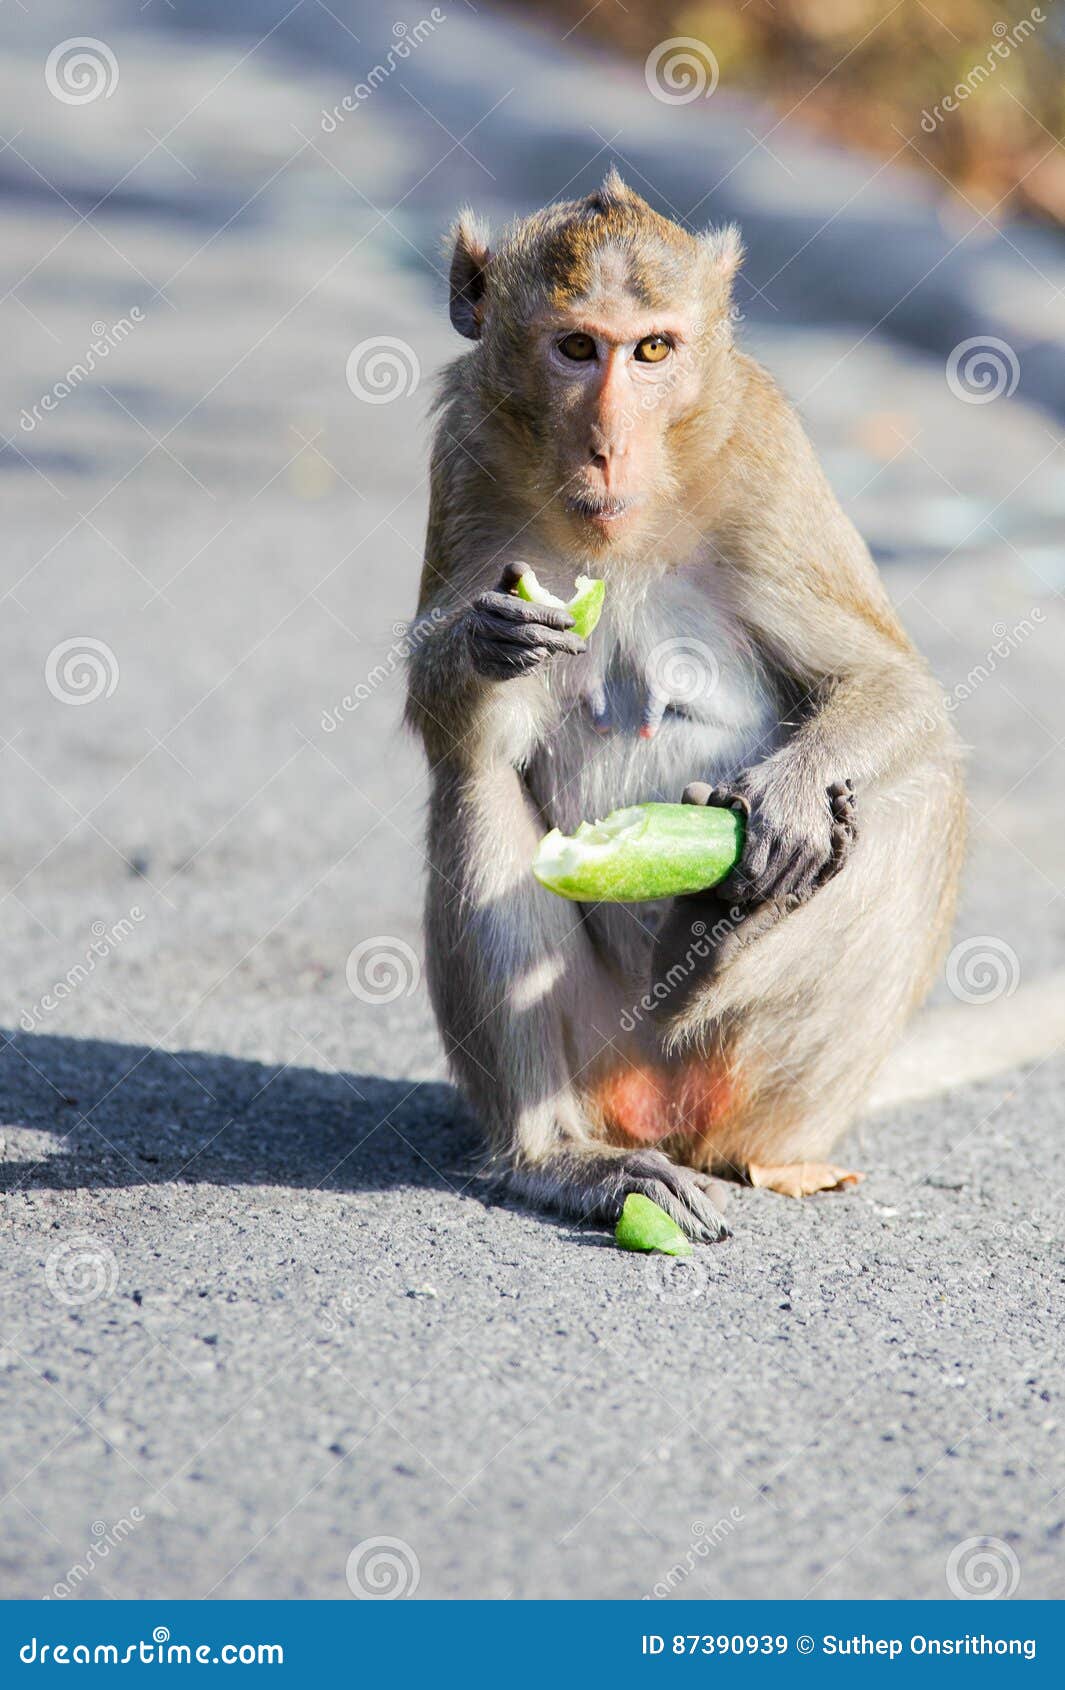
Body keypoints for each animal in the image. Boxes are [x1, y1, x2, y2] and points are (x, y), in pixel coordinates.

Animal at [405, 169, 965, 1242]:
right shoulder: (462, 456)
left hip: (764, 1090)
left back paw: (721, 952)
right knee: (474, 782)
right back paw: (559, 1158)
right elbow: (450, 719)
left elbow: (894, 688)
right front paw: (488, 640)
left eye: (654, 350)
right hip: (596, 1050)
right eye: (577, 347)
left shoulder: (765, 459)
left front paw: (786, 802)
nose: (608, 447)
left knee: (922, 799)